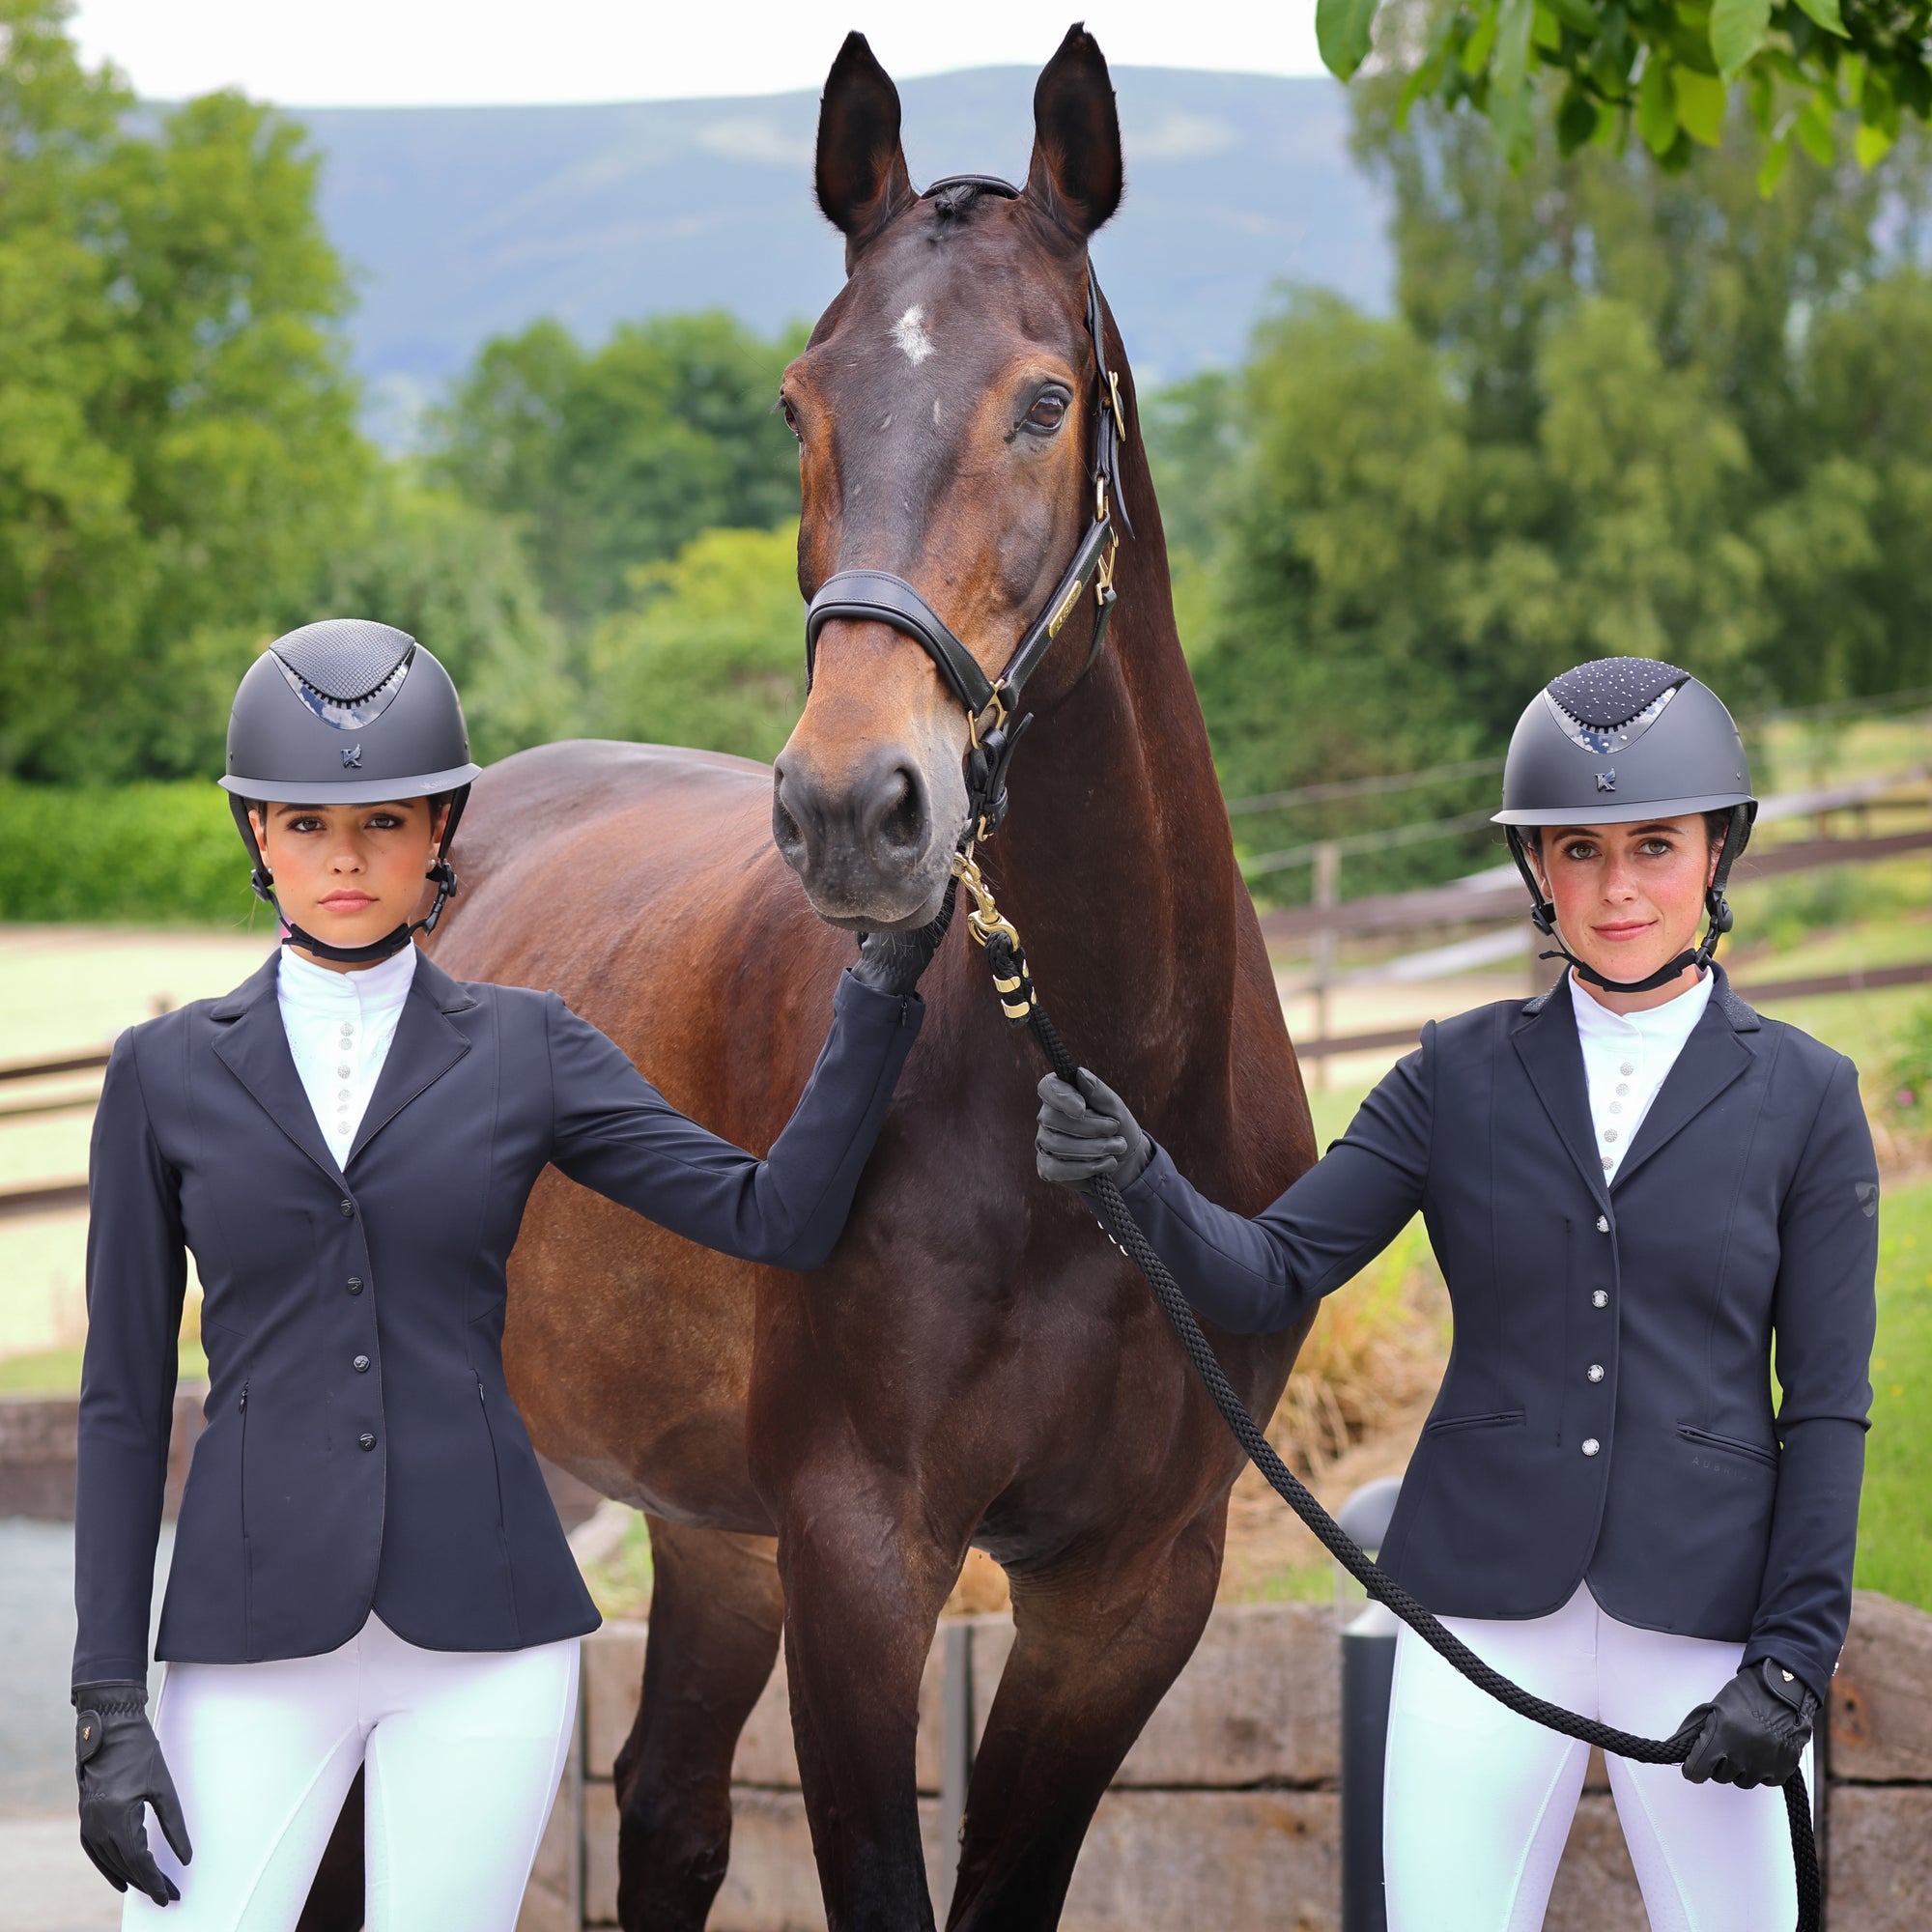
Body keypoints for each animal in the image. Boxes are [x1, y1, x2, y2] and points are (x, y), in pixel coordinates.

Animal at [426, 27, 1317, 1929]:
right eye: (797, 403)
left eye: (1045, 401)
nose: (852, 806)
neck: (1094, 1086)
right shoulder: (859, 1557)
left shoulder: (1129, 1591)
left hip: (707, 1535)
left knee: (667, 1809)